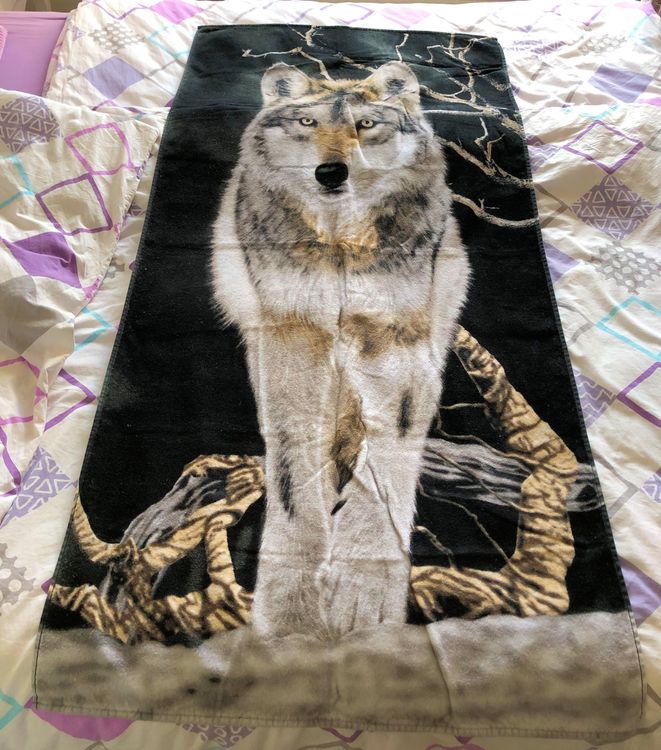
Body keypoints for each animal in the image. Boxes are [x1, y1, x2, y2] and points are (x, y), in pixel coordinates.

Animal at [211, 60, 470, 639]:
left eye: (365, 124)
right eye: (307, 121)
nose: (331, 173)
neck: (338, 246)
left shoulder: (393, 337)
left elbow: (385, 464)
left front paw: (363, 593)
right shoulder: (292, 333)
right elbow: (294, 467)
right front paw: (290, 607)